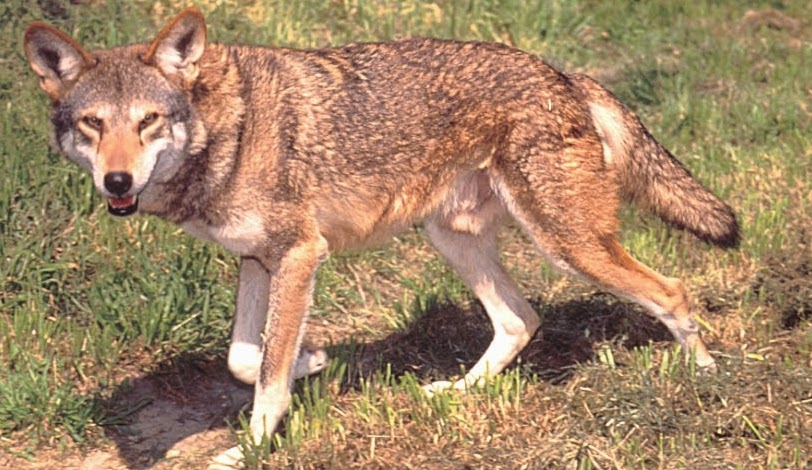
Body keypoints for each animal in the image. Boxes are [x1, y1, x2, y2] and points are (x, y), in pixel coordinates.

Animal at [24, 7, 738, 467]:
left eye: (148, 122)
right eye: (92, 124)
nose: (117, 181)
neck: (225, 130)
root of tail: (564, 75)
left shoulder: (300, 255)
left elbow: (266, 379)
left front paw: (249, 450)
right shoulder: (259, 261)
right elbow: (246, 359)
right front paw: (313, 361)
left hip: (566, 247)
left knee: (673, 293)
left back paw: (707, 384)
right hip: (453, 239)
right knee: (521, 320)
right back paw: (453, 394)